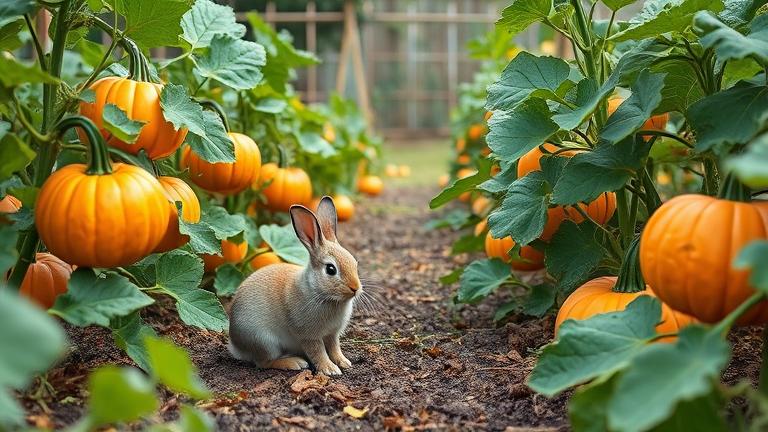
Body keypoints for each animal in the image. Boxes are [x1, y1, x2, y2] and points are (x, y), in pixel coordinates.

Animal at [228, 196, 362, 376]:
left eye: (354, 262)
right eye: (331, 269)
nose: (355, 288)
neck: (317, 291)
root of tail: (237, 345)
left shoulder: (332, 335)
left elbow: (335, 348)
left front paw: (344, 362)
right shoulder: (309, 336)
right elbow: (318, 352)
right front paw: (330, 369)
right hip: (265, 341)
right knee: (263, 363)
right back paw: (294, 363)